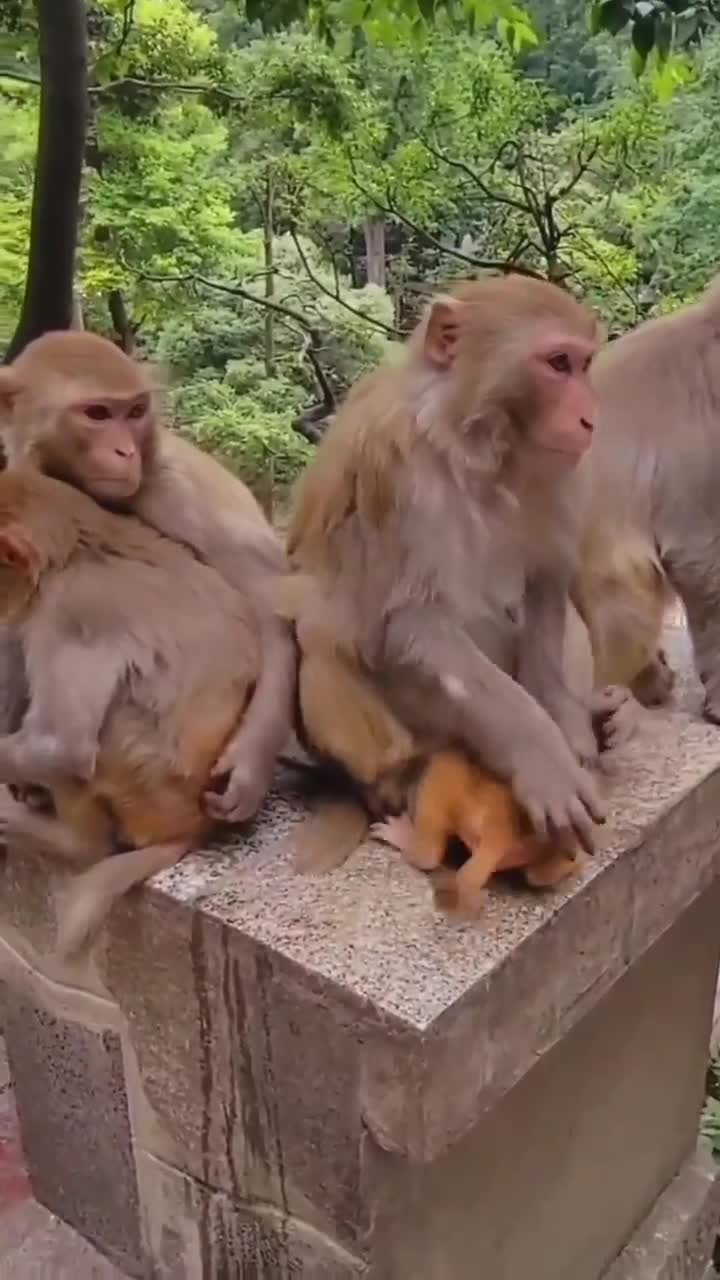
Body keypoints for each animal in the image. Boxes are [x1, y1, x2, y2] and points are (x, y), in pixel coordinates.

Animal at [0, 331, 295, 824]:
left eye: (135, 412)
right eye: (98, 414)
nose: (126, 452)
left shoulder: (174, 492)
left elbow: (271, 611)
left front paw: (248, 770)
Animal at [0, 467, 264, 956]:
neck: (74, 548)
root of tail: (195, 825)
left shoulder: (69, 608)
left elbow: (60, 746)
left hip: (140, 787)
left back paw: (74, 842)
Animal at [283, 275, 640, 866]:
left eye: (584, 363)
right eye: (558, 363)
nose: (590, 417)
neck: (474, 443)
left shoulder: (557, 469)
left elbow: (545, 585)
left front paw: (569, 730)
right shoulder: (397, 467)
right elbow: (412, 622)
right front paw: (542, 757)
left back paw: (596, 717)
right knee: (319, 628)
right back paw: (398, 783)